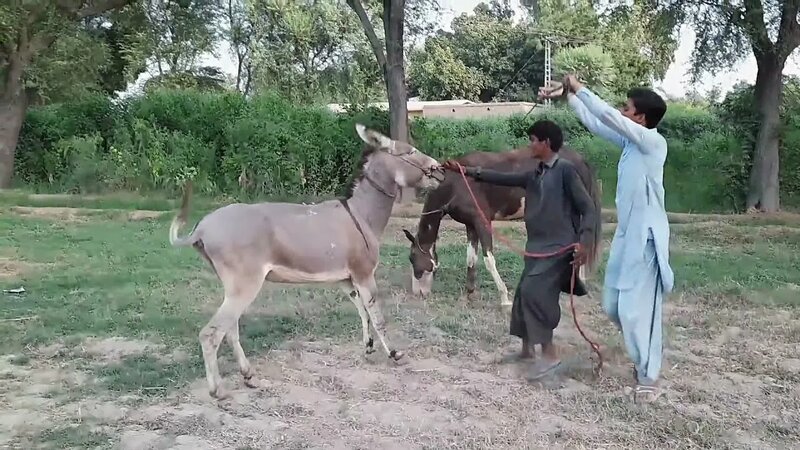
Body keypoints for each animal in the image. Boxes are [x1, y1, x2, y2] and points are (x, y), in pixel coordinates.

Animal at [168, 124, 444, 399]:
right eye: (409, 151)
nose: (440, 169)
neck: (361, 213)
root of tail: (202, 228)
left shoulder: (346, 280)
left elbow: (362, 311)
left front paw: (368, 347)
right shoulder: (364, 274)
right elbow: (377, 316)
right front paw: (394, 353)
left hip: (233, 288)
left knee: (229, 330)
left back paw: (248, 376)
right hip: (245, 285)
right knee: (211, 334)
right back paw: (218, 390)